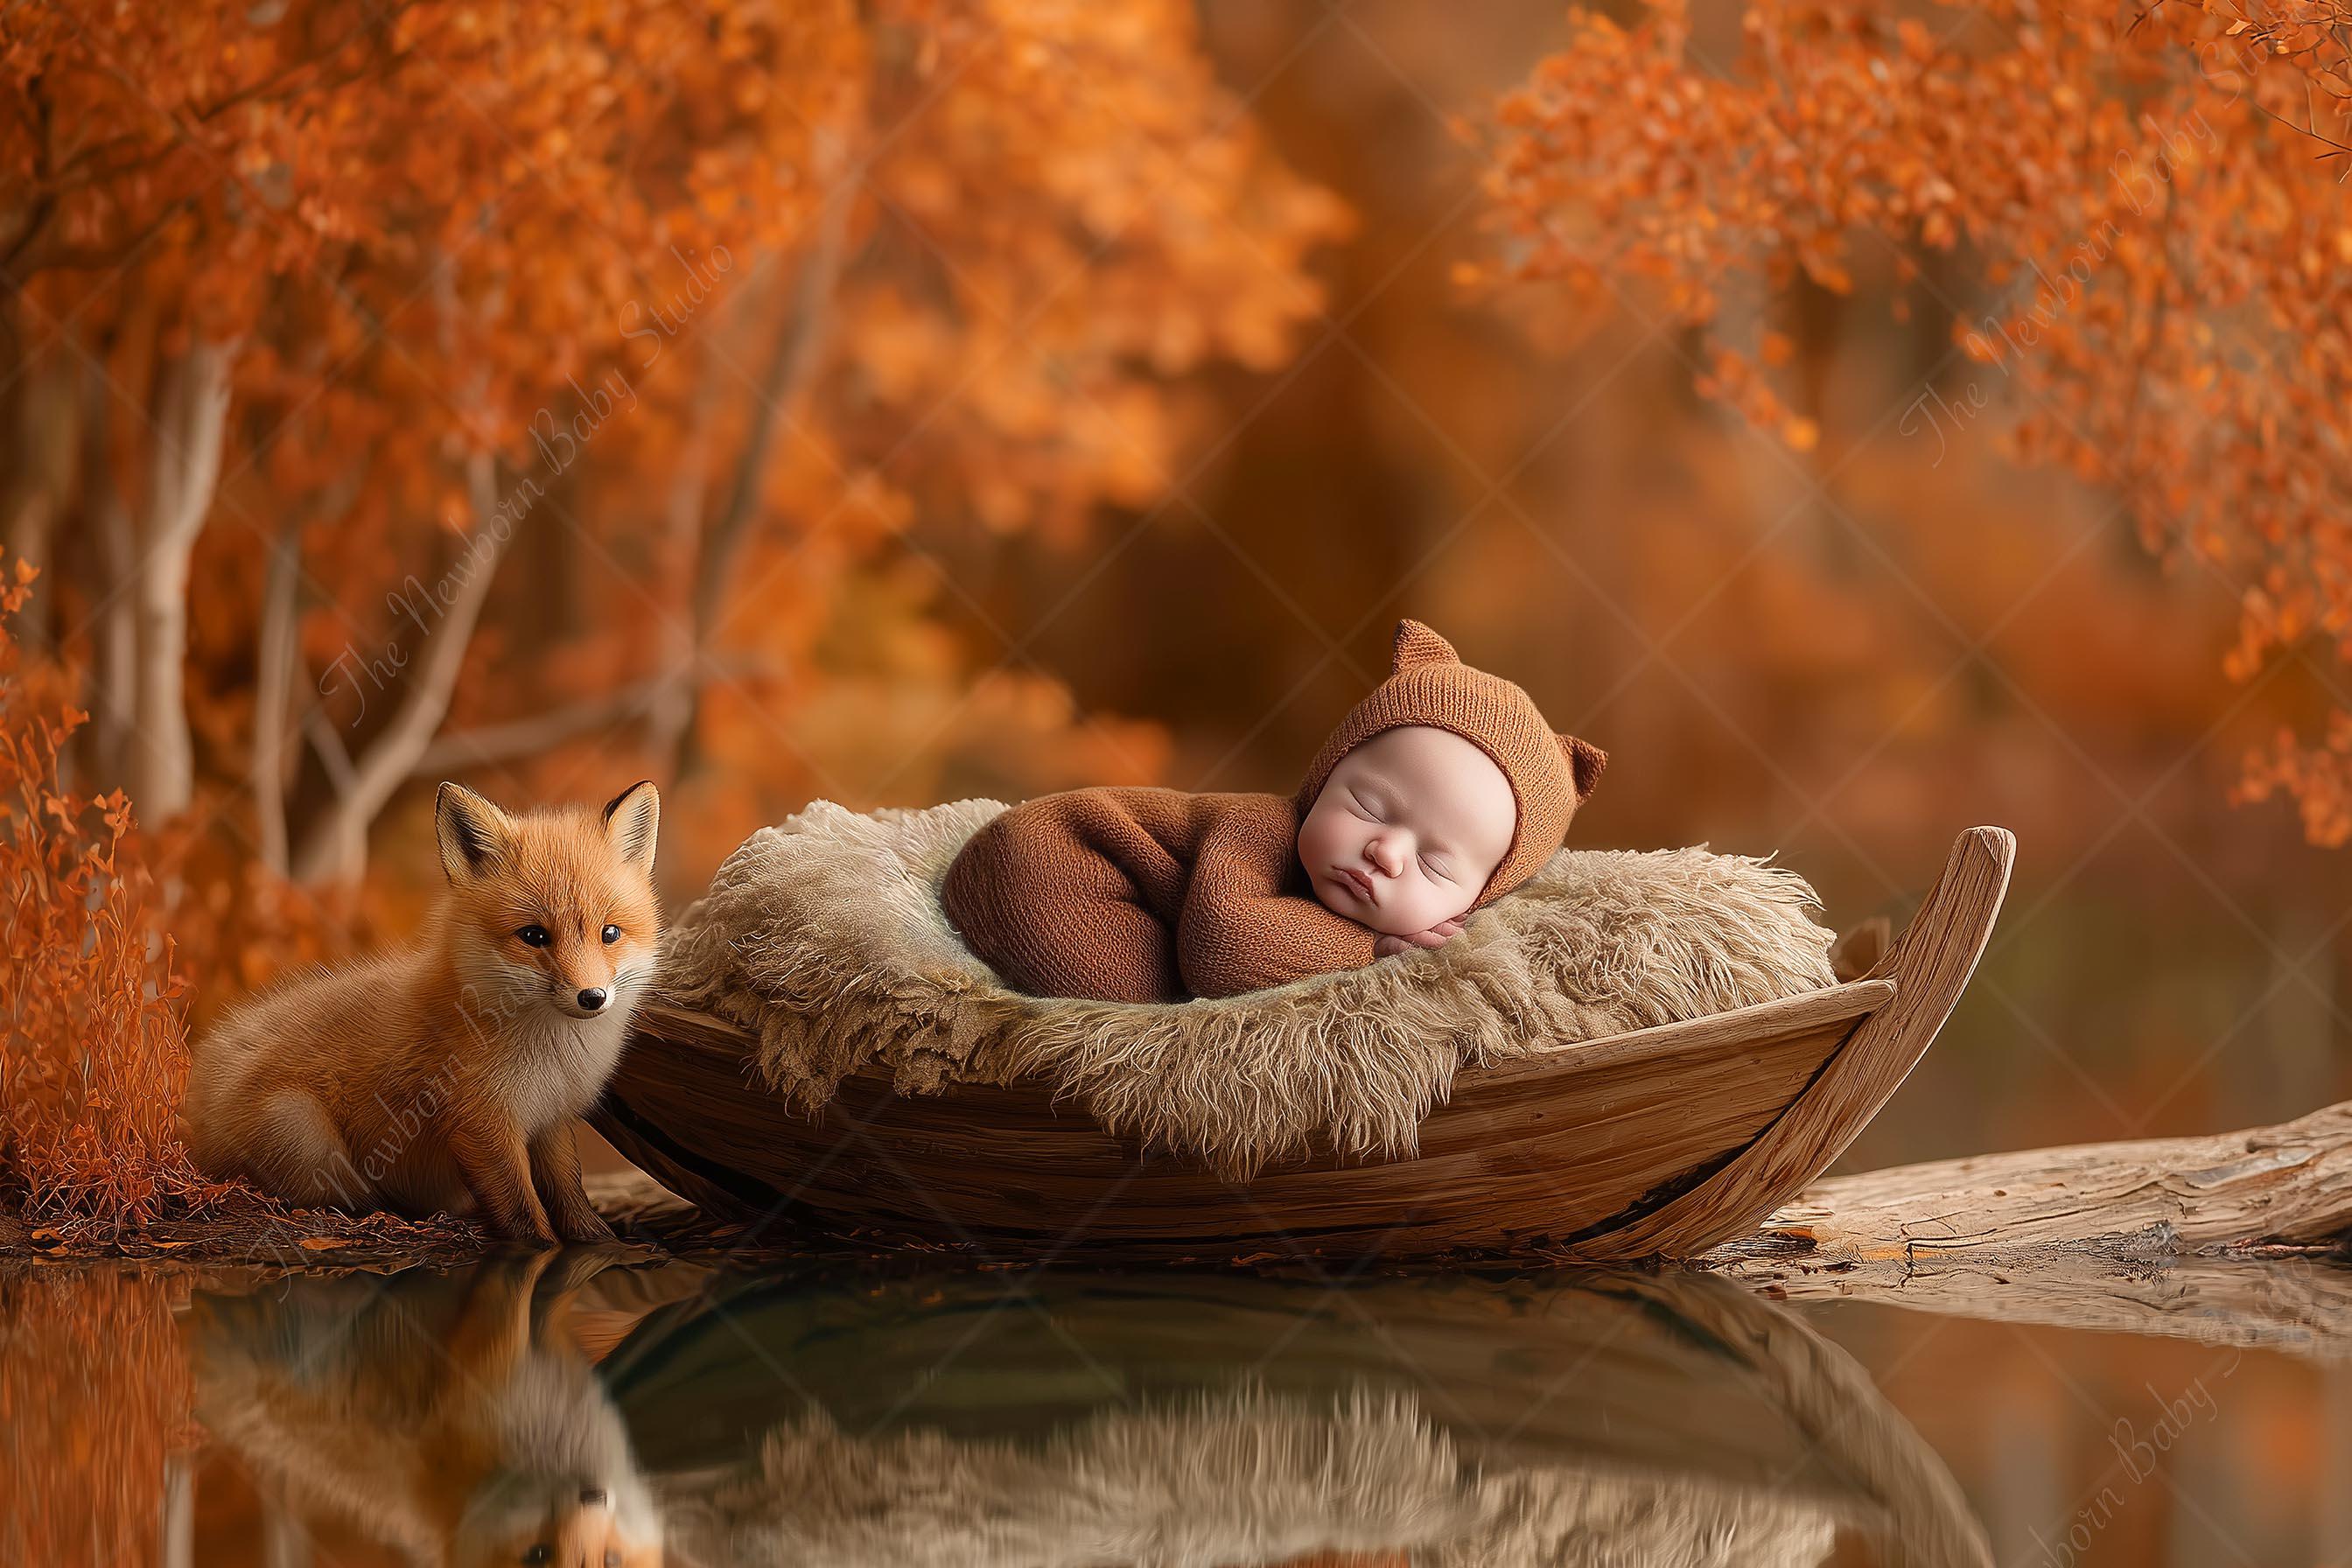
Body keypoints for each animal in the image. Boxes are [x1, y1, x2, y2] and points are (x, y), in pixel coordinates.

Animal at [185, 779, 663, 1245]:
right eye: (533, 936)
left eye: (610, 933)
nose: (592, 997)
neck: (556, 1055)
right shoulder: (481, 1126)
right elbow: (523, 1210)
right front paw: (542, 1246)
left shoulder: (552, 1119)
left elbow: (569, 1190)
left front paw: (597, 1239)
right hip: (305, 1135)